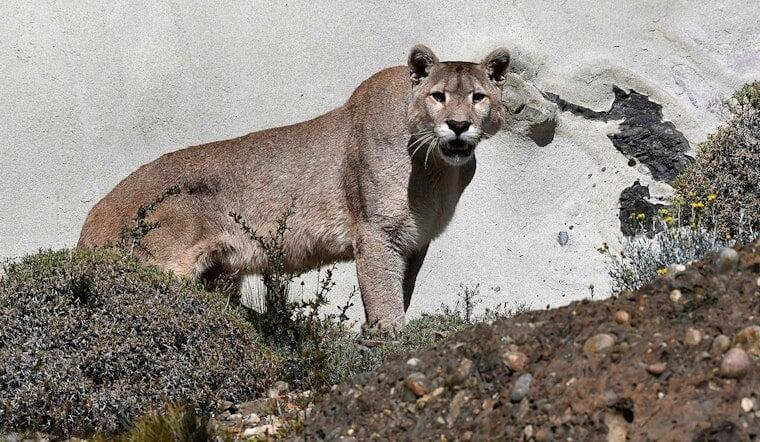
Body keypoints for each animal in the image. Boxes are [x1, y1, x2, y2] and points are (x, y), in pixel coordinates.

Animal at [78, 45, 511, 329]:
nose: (459, 125)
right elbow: (384, 293)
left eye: (479, 97)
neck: (437, 169)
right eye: (438, 96)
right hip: (163, 265)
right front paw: (391, 337)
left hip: (219, 276)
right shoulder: (375, 232)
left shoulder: (415, 239)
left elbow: (401, 288)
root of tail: (93, 217)